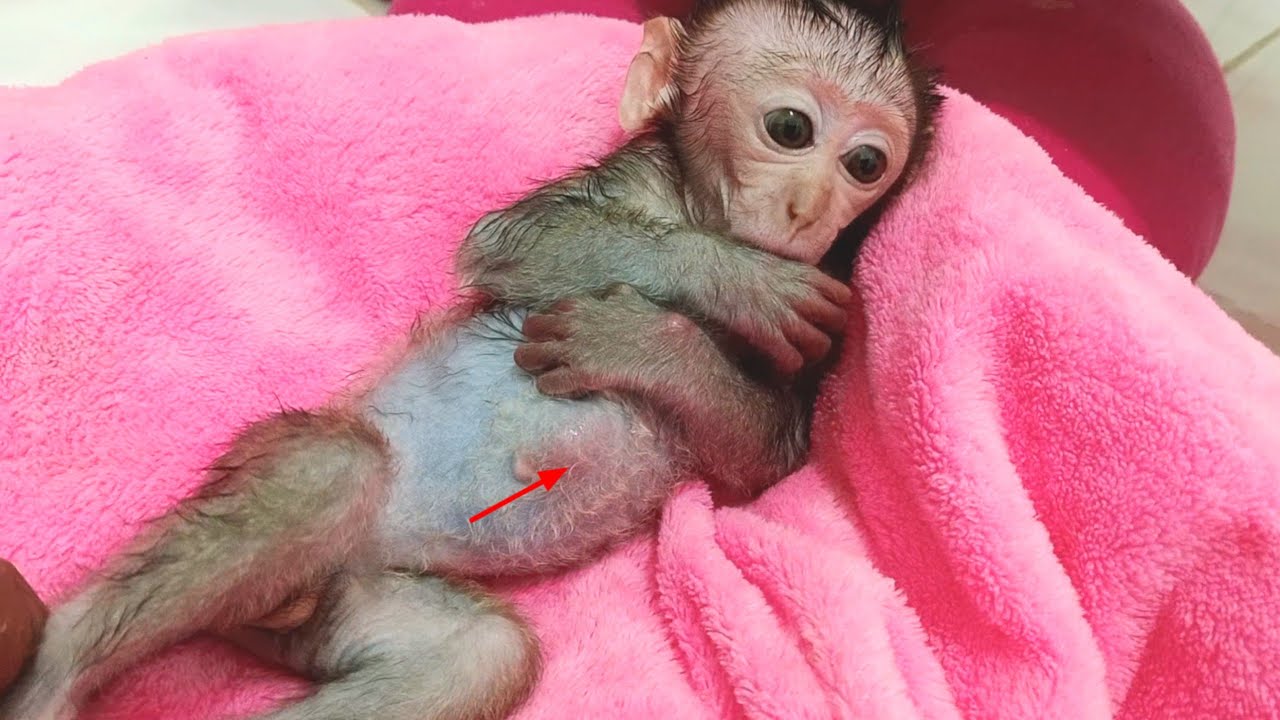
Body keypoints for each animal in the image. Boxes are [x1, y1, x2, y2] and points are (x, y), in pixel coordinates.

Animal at [0, 1, 940, 718]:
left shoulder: (817, 334)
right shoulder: (632, 180)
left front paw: (637, 341)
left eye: (867, 163)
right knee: (331, 465)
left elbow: (758, 462)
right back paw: (54, 671)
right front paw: (735, 279)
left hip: (349, 602)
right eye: (790, 127)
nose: (810, 207)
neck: (696, 205)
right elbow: (512, 245)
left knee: (476, 652)